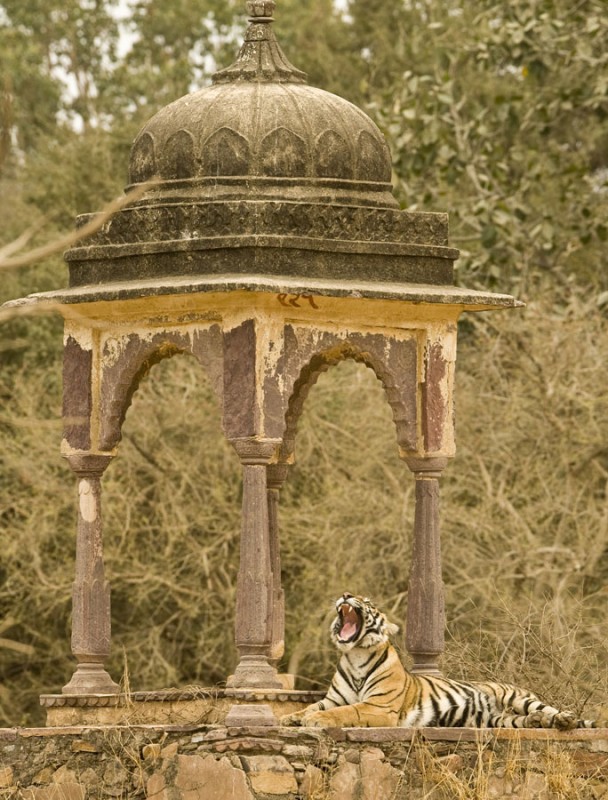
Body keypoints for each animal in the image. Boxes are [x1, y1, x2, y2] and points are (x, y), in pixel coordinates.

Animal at [281, 592, 596, 729]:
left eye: (367, 602)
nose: (346, 594)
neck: (356, 654)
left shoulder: (378, 706)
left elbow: (346, 712)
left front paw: (314, 720)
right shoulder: (333, 699)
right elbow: (312, 706)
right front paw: (290, 717)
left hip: (519, 698)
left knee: (552, 710)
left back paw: (563, 720)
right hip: (501, 720)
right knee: (524, 719)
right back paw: (538, 722)